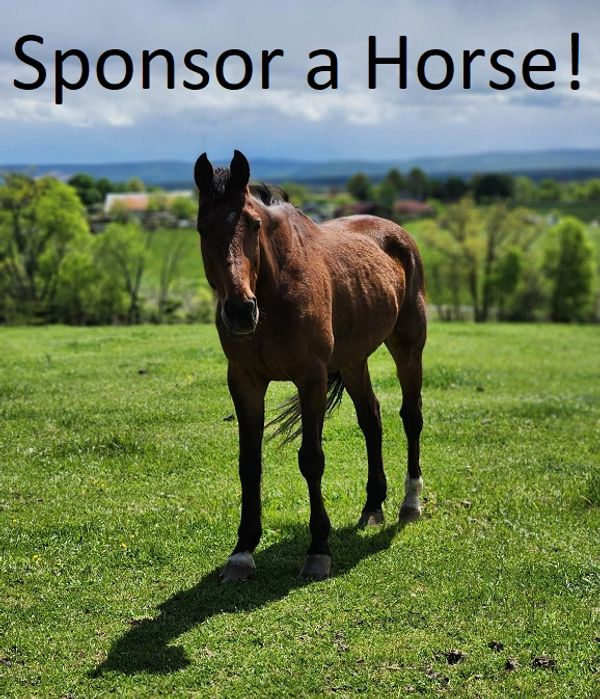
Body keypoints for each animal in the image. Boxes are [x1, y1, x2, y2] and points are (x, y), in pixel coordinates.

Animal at [194, 150, 427, 581]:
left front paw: (319, 548)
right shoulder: (245, 381)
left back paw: (410, 503)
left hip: (408, 346)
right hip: (353, 360)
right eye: (202, 228)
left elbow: (312, 460)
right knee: (372, 419)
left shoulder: (311, 378)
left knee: (411, 416)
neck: (275, 293)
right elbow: (248, 463)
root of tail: (396, 233)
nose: (239, 311)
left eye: (253, 224)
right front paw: (242, 552)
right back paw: (373, 506)